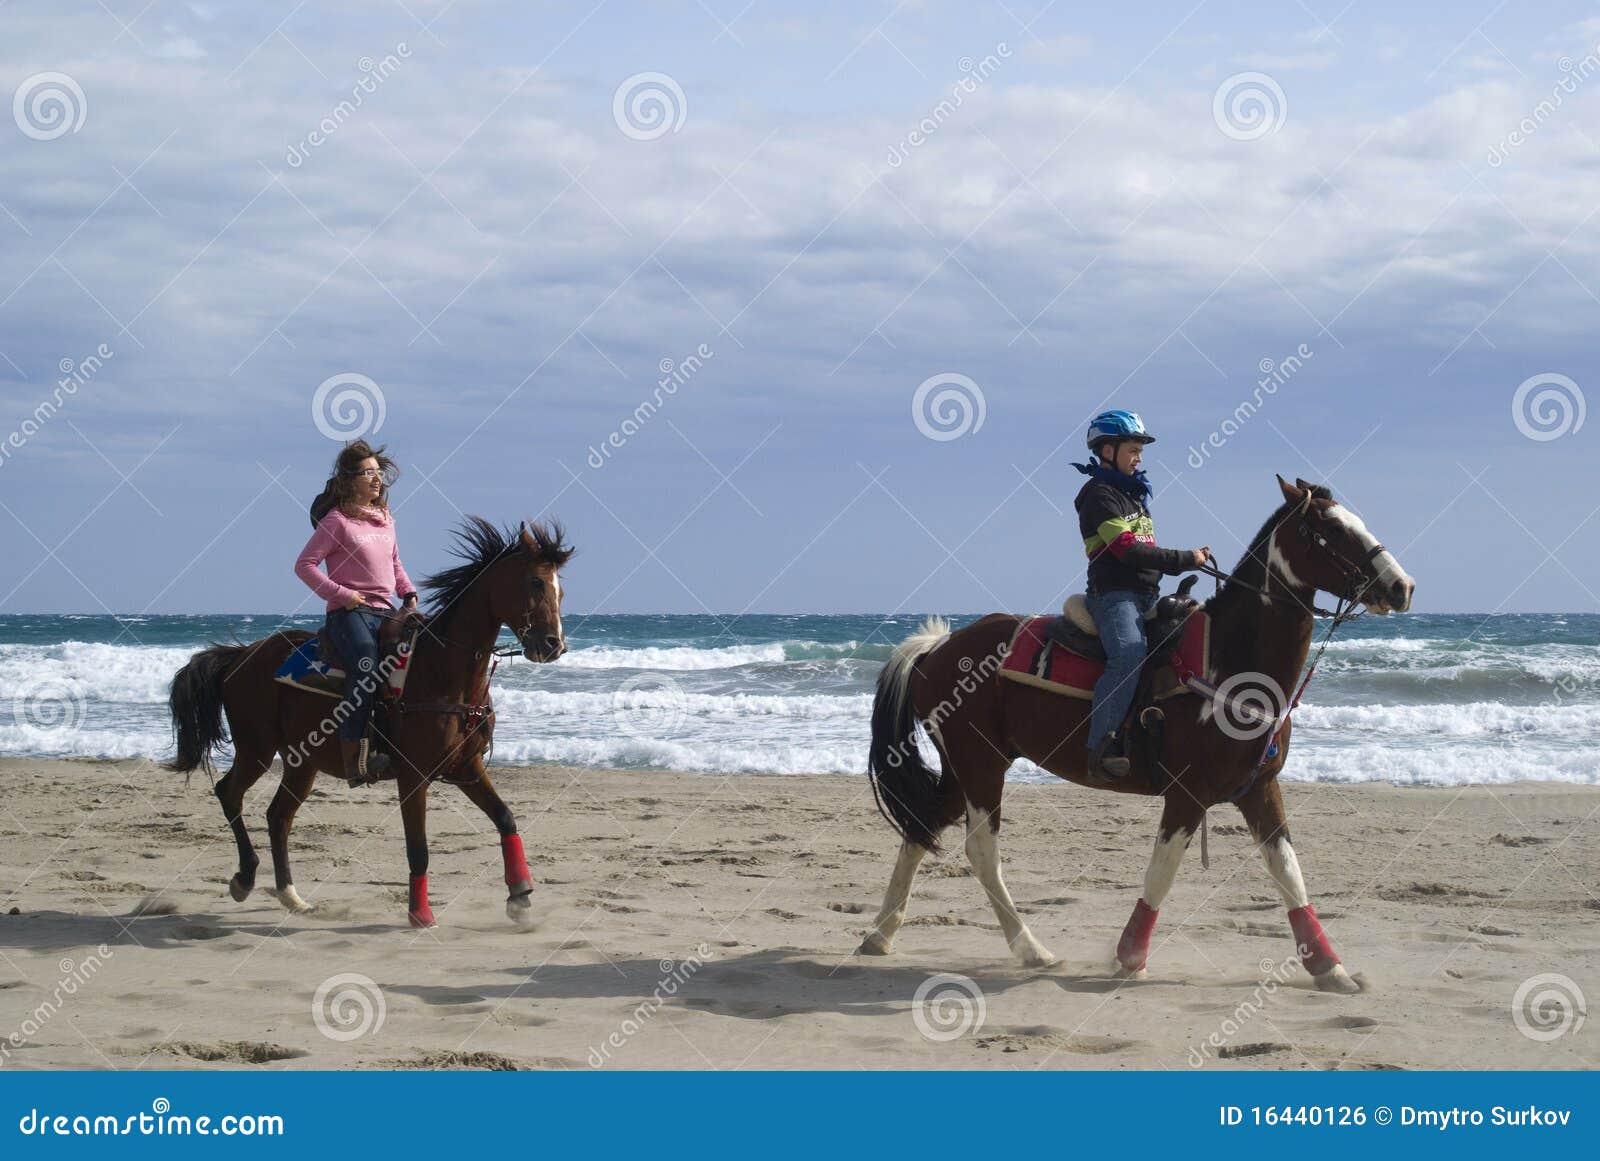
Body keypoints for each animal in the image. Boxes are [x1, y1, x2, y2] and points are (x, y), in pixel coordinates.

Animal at [166, 517, 574, 929]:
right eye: (535, 582)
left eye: (561, 589)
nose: (553, 645)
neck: (439, 671)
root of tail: (240, 655)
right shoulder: (413, 777)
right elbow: (418, 848)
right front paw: (420, 913)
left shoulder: (466, 767)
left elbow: (506, 819)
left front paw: (520, 894)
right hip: (256, 749)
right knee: (229, 793)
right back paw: (245, 877)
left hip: (302, 762)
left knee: (278, 815)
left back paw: (291, 895)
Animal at [859, 476, 1415, 993]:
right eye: (1329, 529)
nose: (1402, 586)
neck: (1229, 661)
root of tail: (939, 645)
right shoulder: (1188, 795)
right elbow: (1162, 873)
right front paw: (1129, 957)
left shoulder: (1259, 788)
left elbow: (1288, 873)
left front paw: (1330, 967)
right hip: (982, 765)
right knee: (980, 852)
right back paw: (1032, 949)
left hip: (964, 768)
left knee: (920, 828)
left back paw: (880, 935)